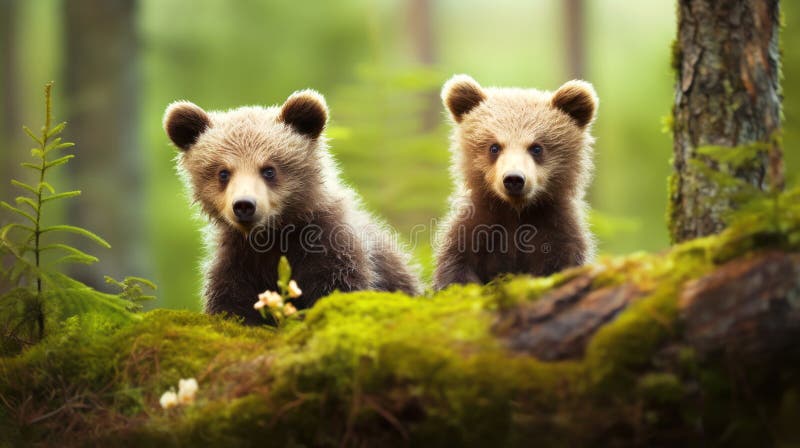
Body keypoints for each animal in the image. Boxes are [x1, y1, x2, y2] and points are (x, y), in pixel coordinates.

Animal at [163, 90, 421, 324]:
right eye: (223, 173)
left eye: (269, 170)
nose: (244, 205)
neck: (274, 236)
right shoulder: (237, 262)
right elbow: (232, 305)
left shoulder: (332, 250)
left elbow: (338, 288)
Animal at [433, 75, 597, 290]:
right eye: (494, 147)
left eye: (536, 148)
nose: (513, 179)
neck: (515, 211)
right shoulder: (476, 228)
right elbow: (456, 269)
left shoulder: (556, 231)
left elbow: (560, 263)